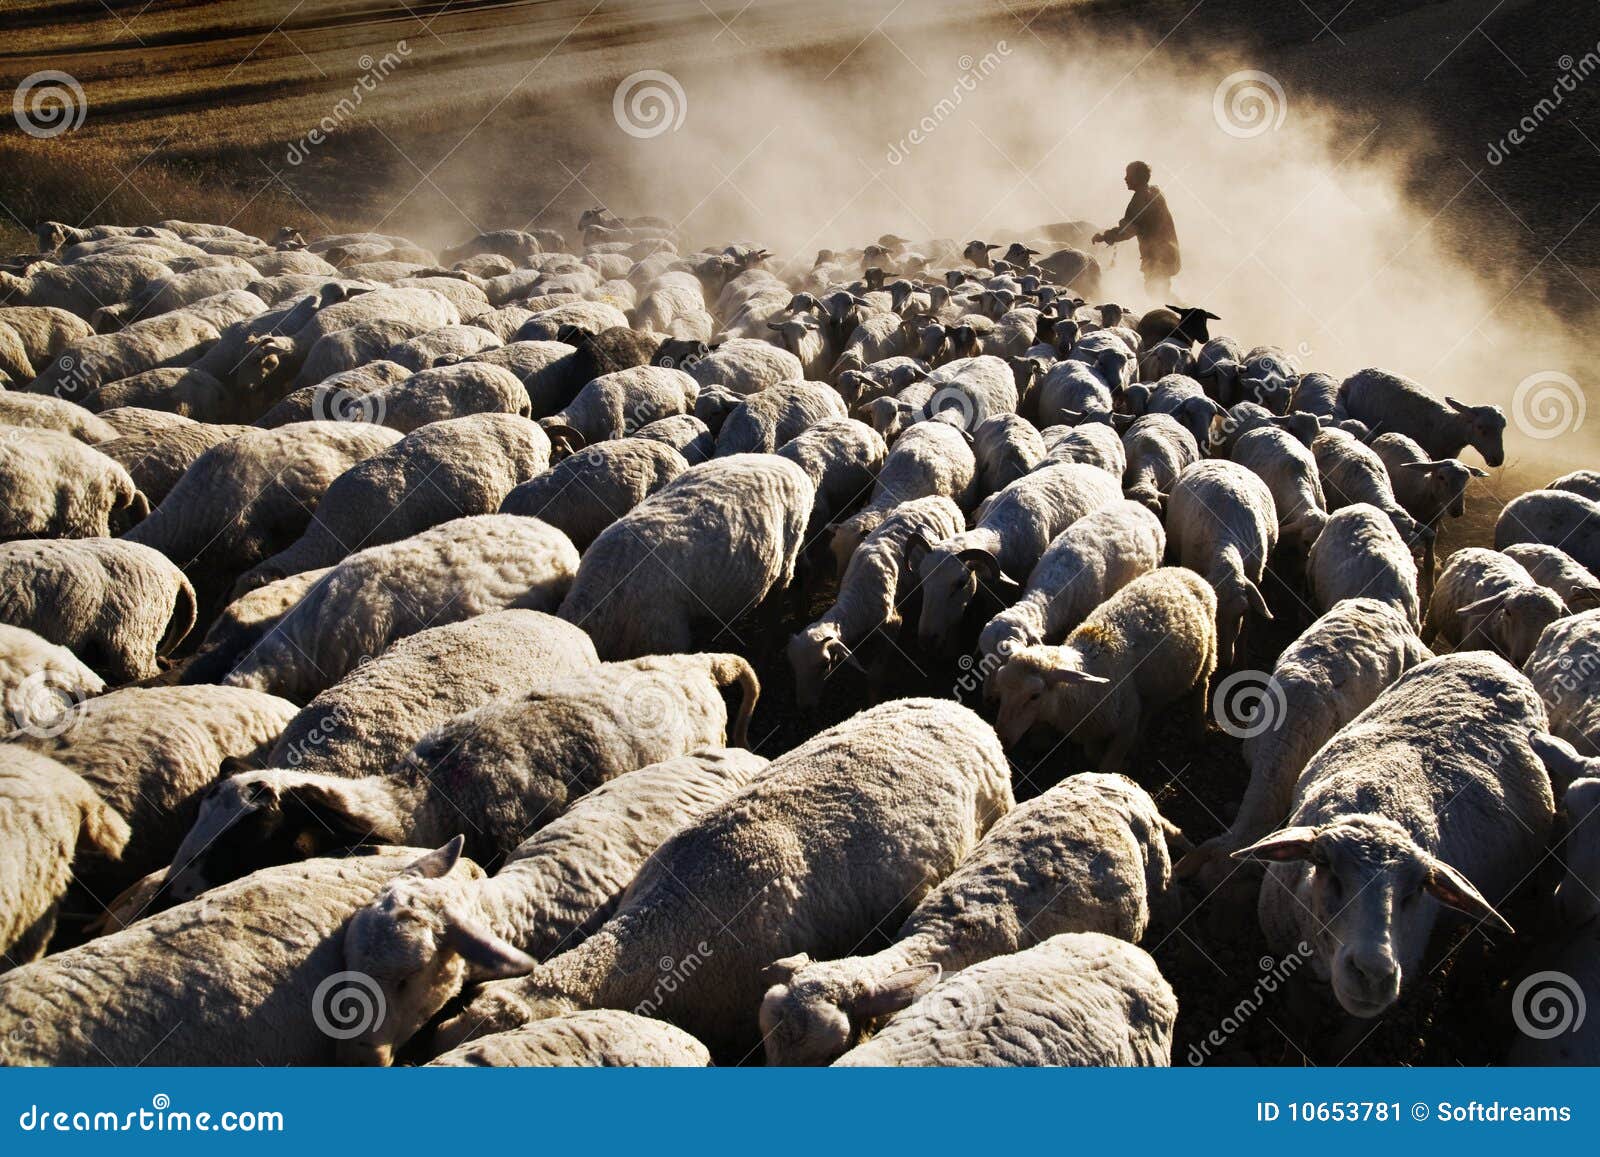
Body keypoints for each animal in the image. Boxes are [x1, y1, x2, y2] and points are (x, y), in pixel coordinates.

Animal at [789, 497, 964, 708]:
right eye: (793, 666)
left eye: (825, 664)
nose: (805, 706)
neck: (859, 597)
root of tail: (942, 498)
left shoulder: (892, 625)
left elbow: (874, 676)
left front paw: (873, 702)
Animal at [991, 567, 1217, 771]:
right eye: (1000, 689)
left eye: (1035, 696)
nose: (1002, 739)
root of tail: (1185, 570)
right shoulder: (1091, 728)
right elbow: (1092, 755)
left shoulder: (1125, 726)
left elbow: (1107, 767)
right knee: (1151, 704)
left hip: (1209, 652)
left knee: (1202, 686)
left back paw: (1198, 733)